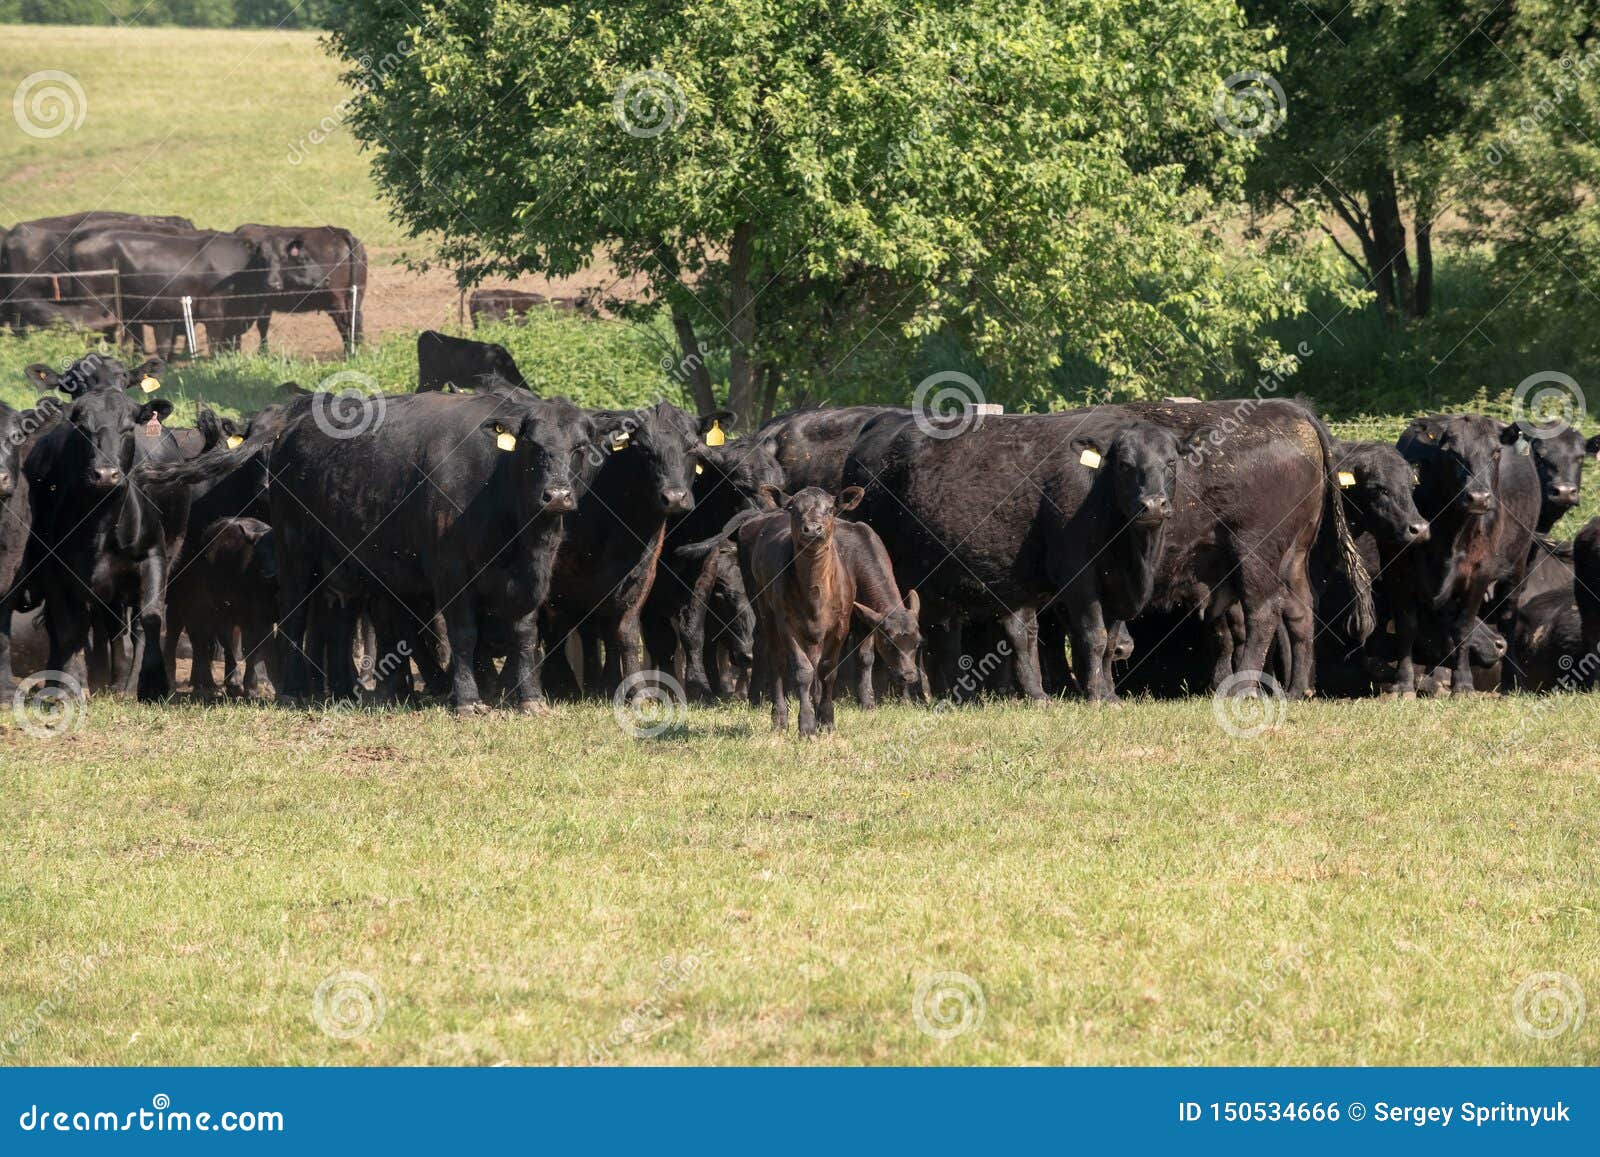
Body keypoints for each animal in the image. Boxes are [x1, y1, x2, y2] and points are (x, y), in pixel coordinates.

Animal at [1394, 415, 1540, 696]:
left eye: (1495, 453)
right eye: (1453, 453)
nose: (1479, 498)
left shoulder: (1479, 573)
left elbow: (1462, 628)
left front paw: (1462, 684)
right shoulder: (1402, 570)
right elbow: (1408, 625)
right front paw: (1404, 684)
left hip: (1517, 565)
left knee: (1507, 617)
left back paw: (1509, 680)